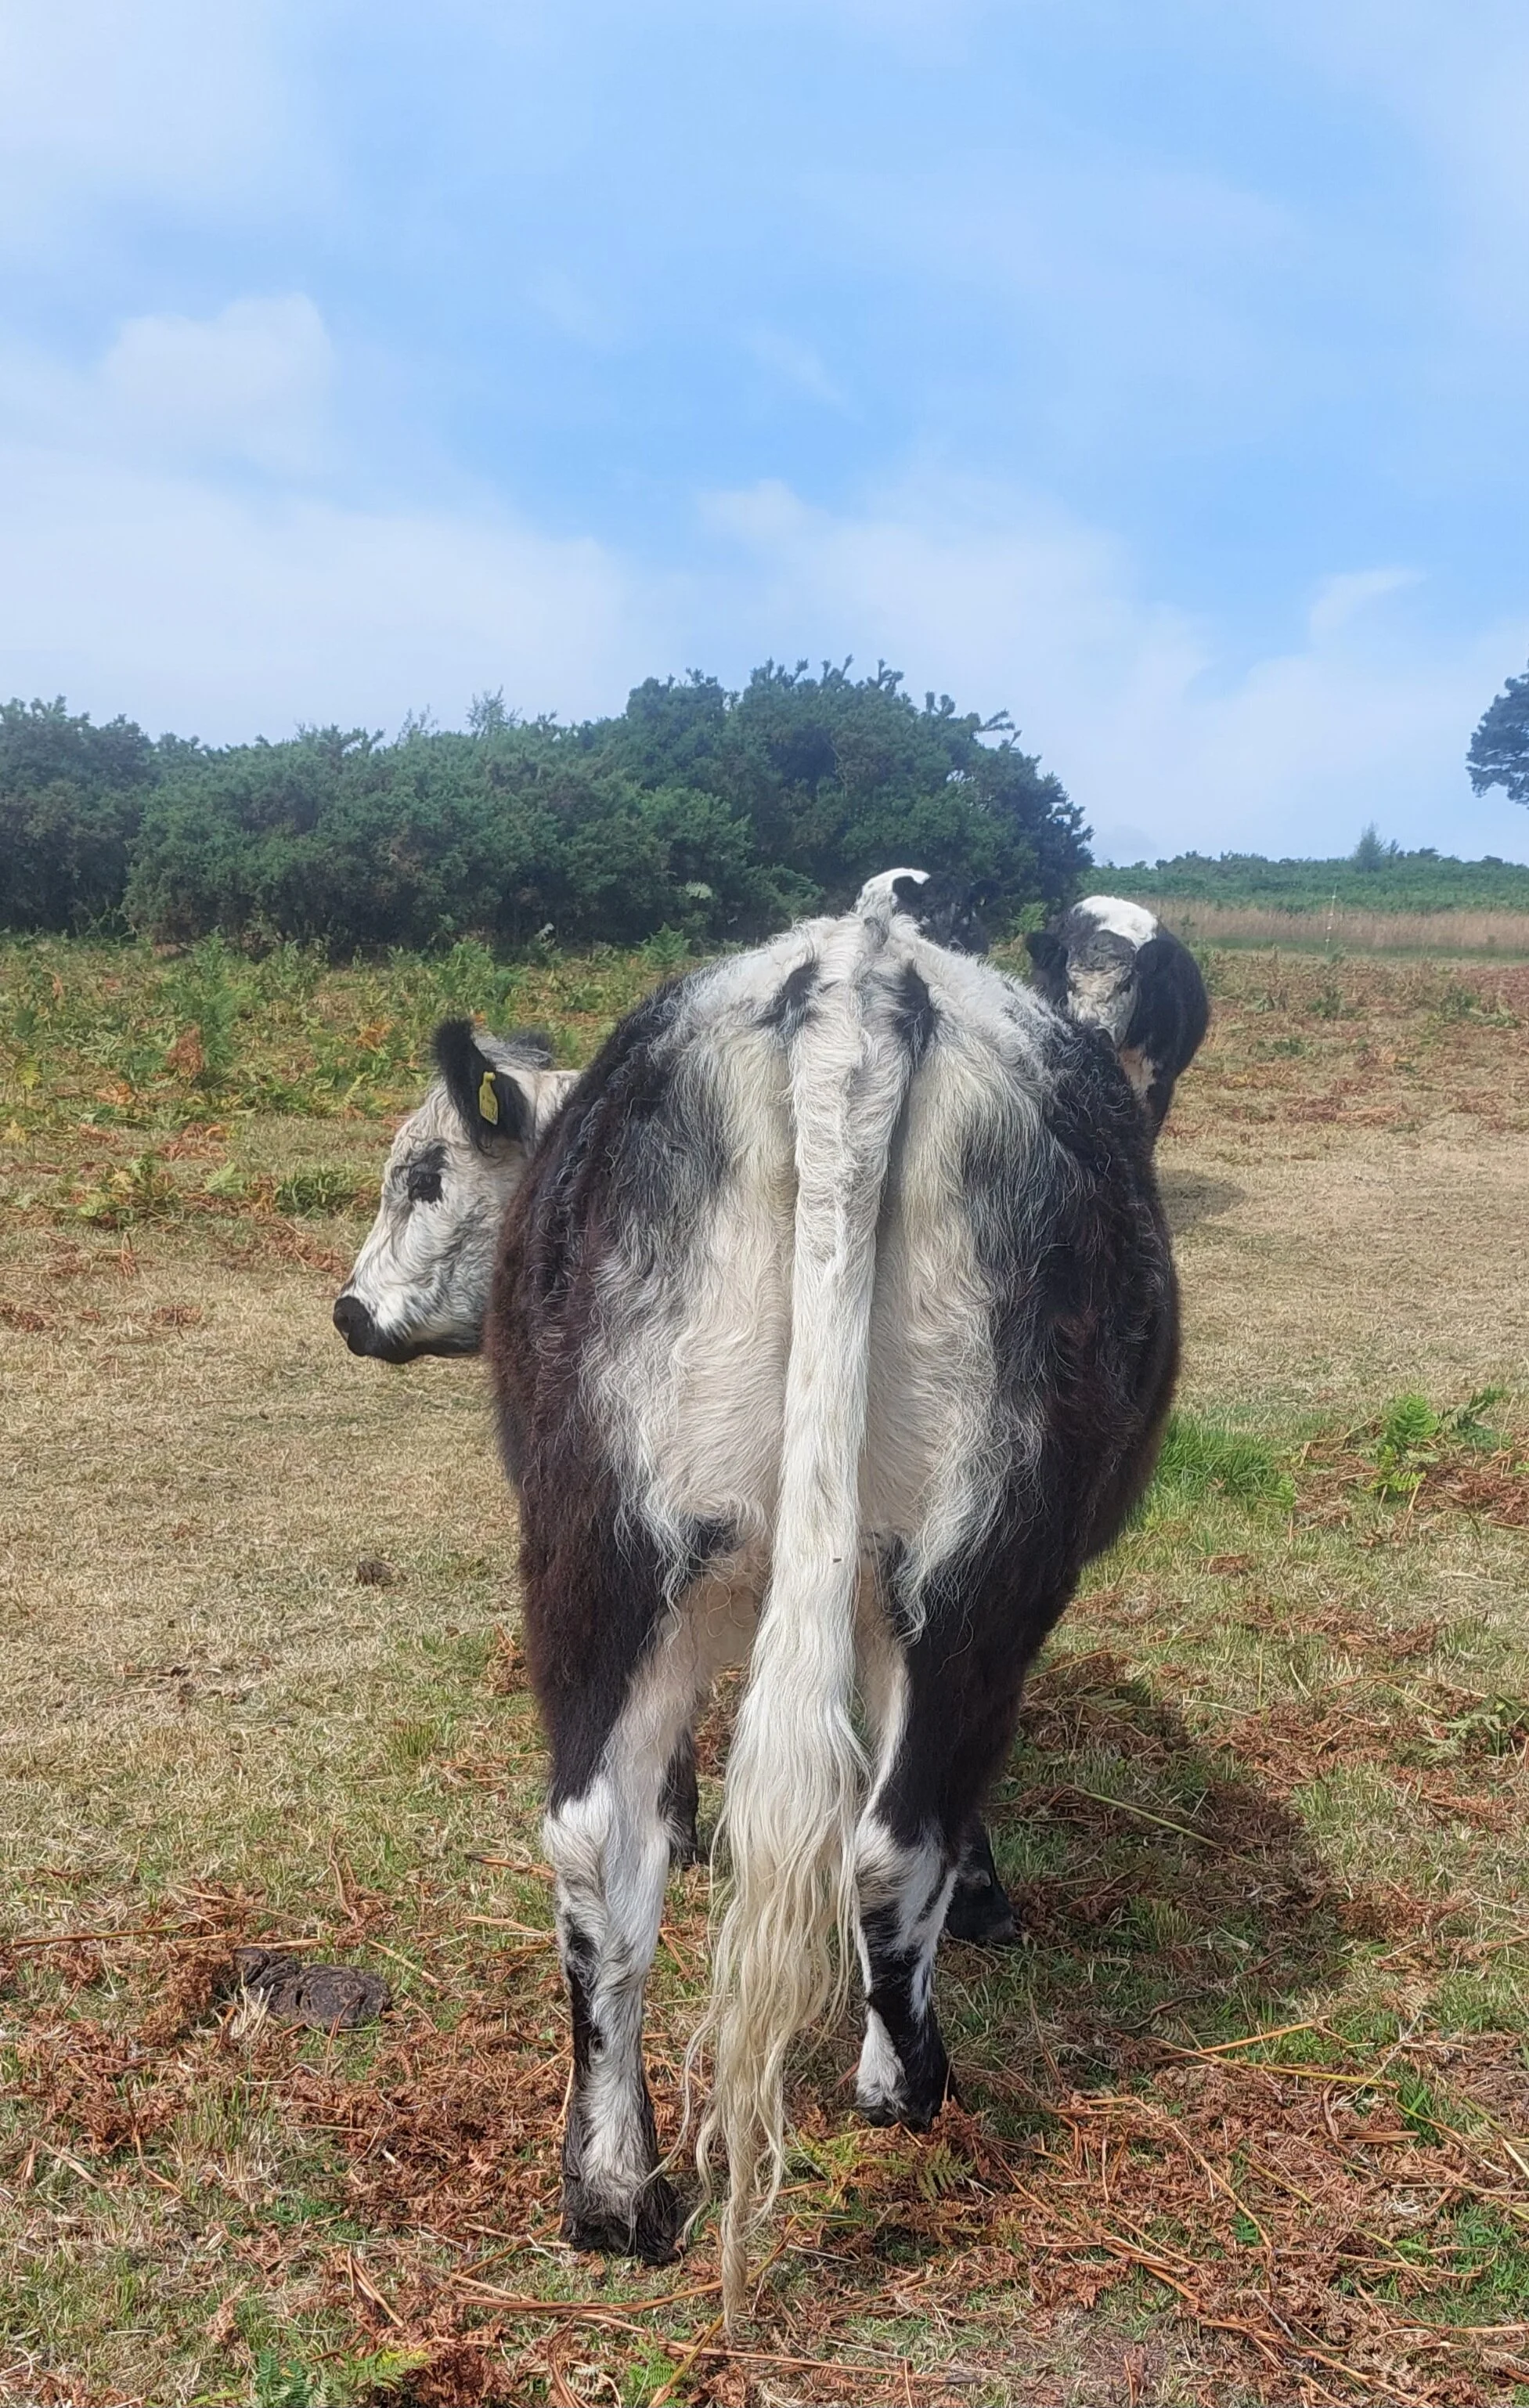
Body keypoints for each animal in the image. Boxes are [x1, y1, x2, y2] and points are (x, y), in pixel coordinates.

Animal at [484, 893, 1177, 2315]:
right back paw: (907, 2090)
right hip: (975, 1559)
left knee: (592, 1844)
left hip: (599, 1545)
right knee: (887, 1838)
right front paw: (985, 1903)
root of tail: (855, 979)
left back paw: (615, 2189)